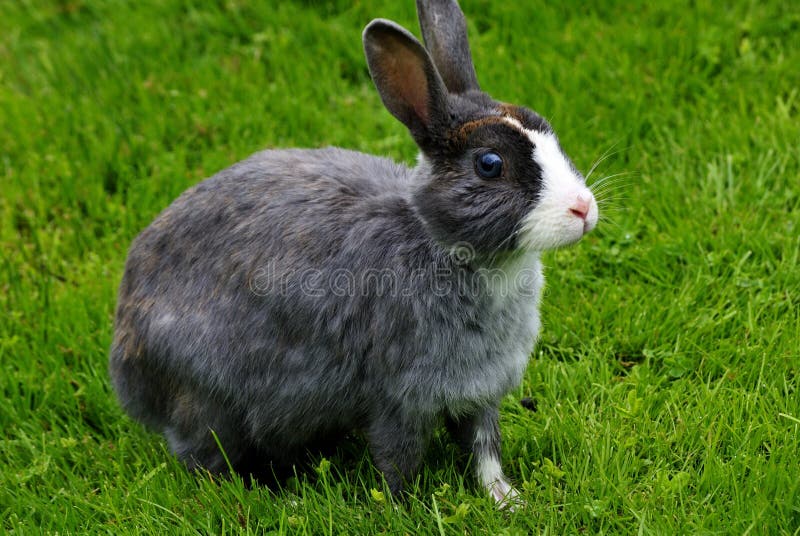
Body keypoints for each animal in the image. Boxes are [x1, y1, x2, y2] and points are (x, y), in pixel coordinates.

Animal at [109, 0, 598, 507]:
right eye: (489, 165)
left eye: (546, 130)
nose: (583, 209)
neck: (445, 244)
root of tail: (125, 361)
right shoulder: (396, 399)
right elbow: (398, 460)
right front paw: (407, 509)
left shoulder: (479, 394)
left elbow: (484, 451)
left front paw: (508, 502)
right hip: (206, 399)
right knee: (206, 458)